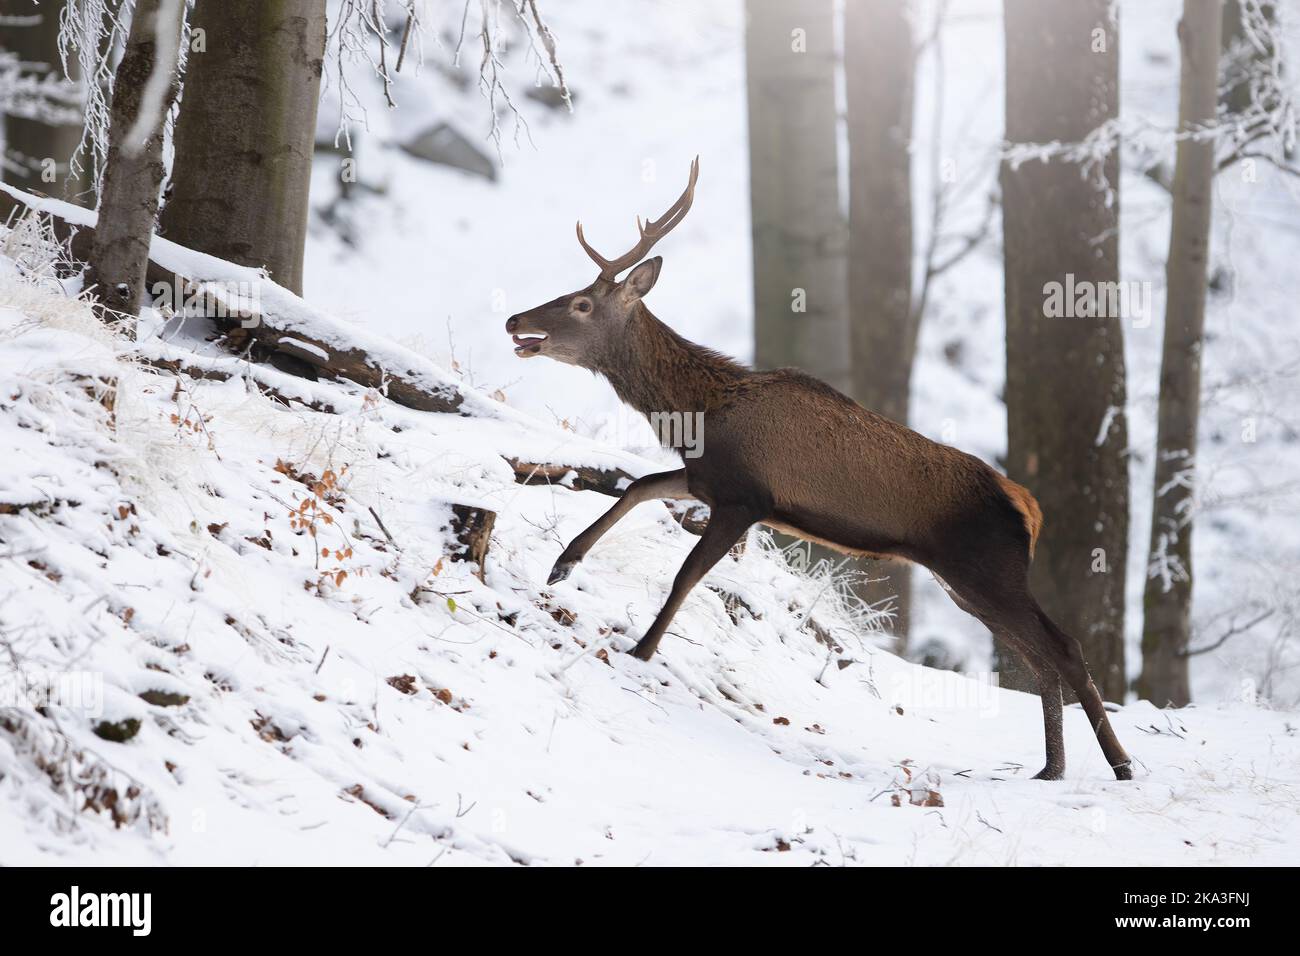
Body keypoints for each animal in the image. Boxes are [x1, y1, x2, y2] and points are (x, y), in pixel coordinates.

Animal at [505, 159, 1133, 782]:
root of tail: (1029, 506)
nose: (514, 319)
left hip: (988, 569)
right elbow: (637, 487)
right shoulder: (707, 480)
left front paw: (640, 650)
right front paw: (563, 565)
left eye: (582, 304)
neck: (700, 411)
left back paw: (1118, 764)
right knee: (1041, 656)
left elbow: (686, 574)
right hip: (965, 582)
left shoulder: (747, 500)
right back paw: (1053, 768)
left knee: (1063, 646)